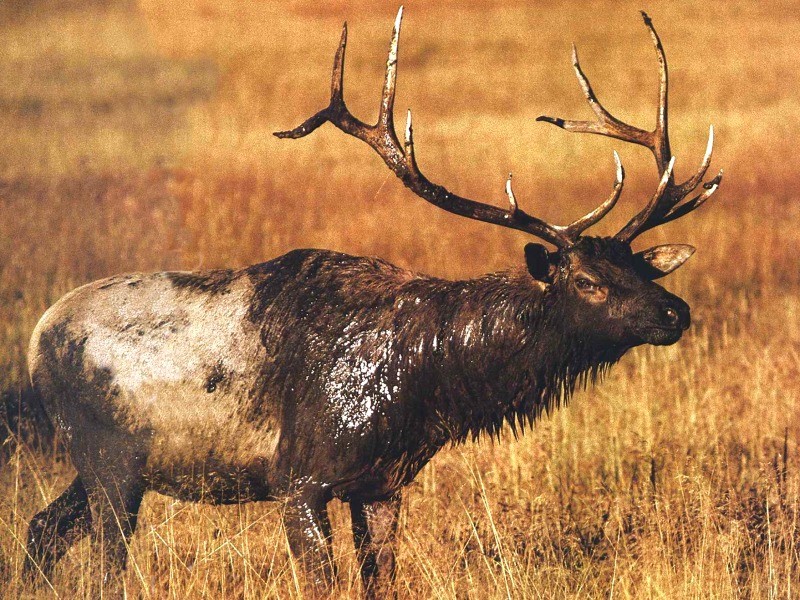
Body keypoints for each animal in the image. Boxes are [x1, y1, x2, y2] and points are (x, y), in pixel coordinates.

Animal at [24, 7, 721, 597]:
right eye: (588, 281)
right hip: (106, 455)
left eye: (639, 267)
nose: (675, 313)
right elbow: (322, 582)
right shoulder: (299, 477)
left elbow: (381, 581)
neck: (430, 388)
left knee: (42, 529)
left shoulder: (384, 484)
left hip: (103, 463)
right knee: (104, 565)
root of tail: (36, 339)